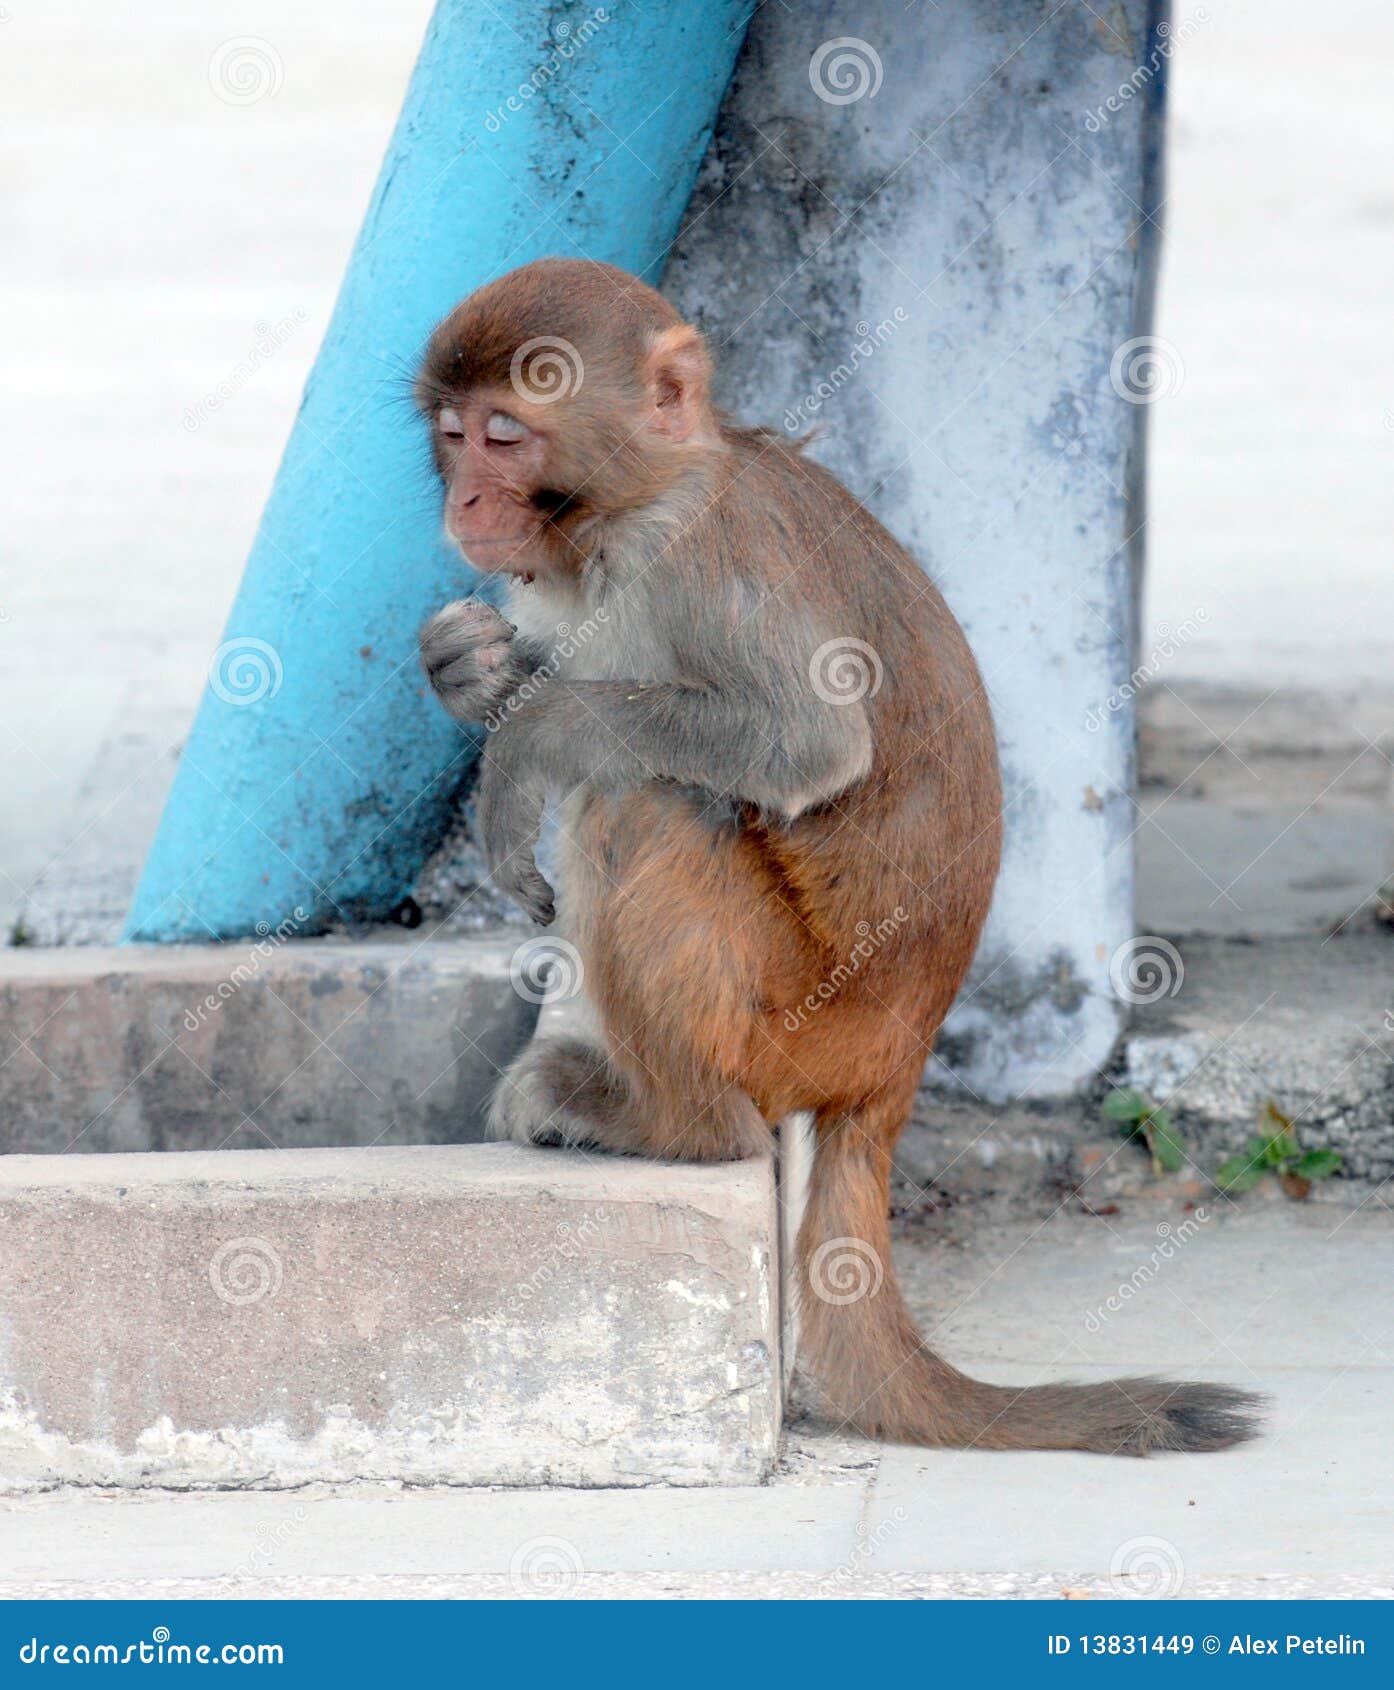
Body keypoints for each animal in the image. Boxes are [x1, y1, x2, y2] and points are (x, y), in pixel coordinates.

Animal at [414, 257, 1261, 1457]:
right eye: (452, 436)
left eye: (504, 435)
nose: (465, 505)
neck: (639, 501)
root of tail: (894, 1062)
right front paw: (470, 665)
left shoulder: (699, 562)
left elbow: (807, 743)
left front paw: (527, 735)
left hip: (794, 1020)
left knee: (641, 802)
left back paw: (680, 1125)